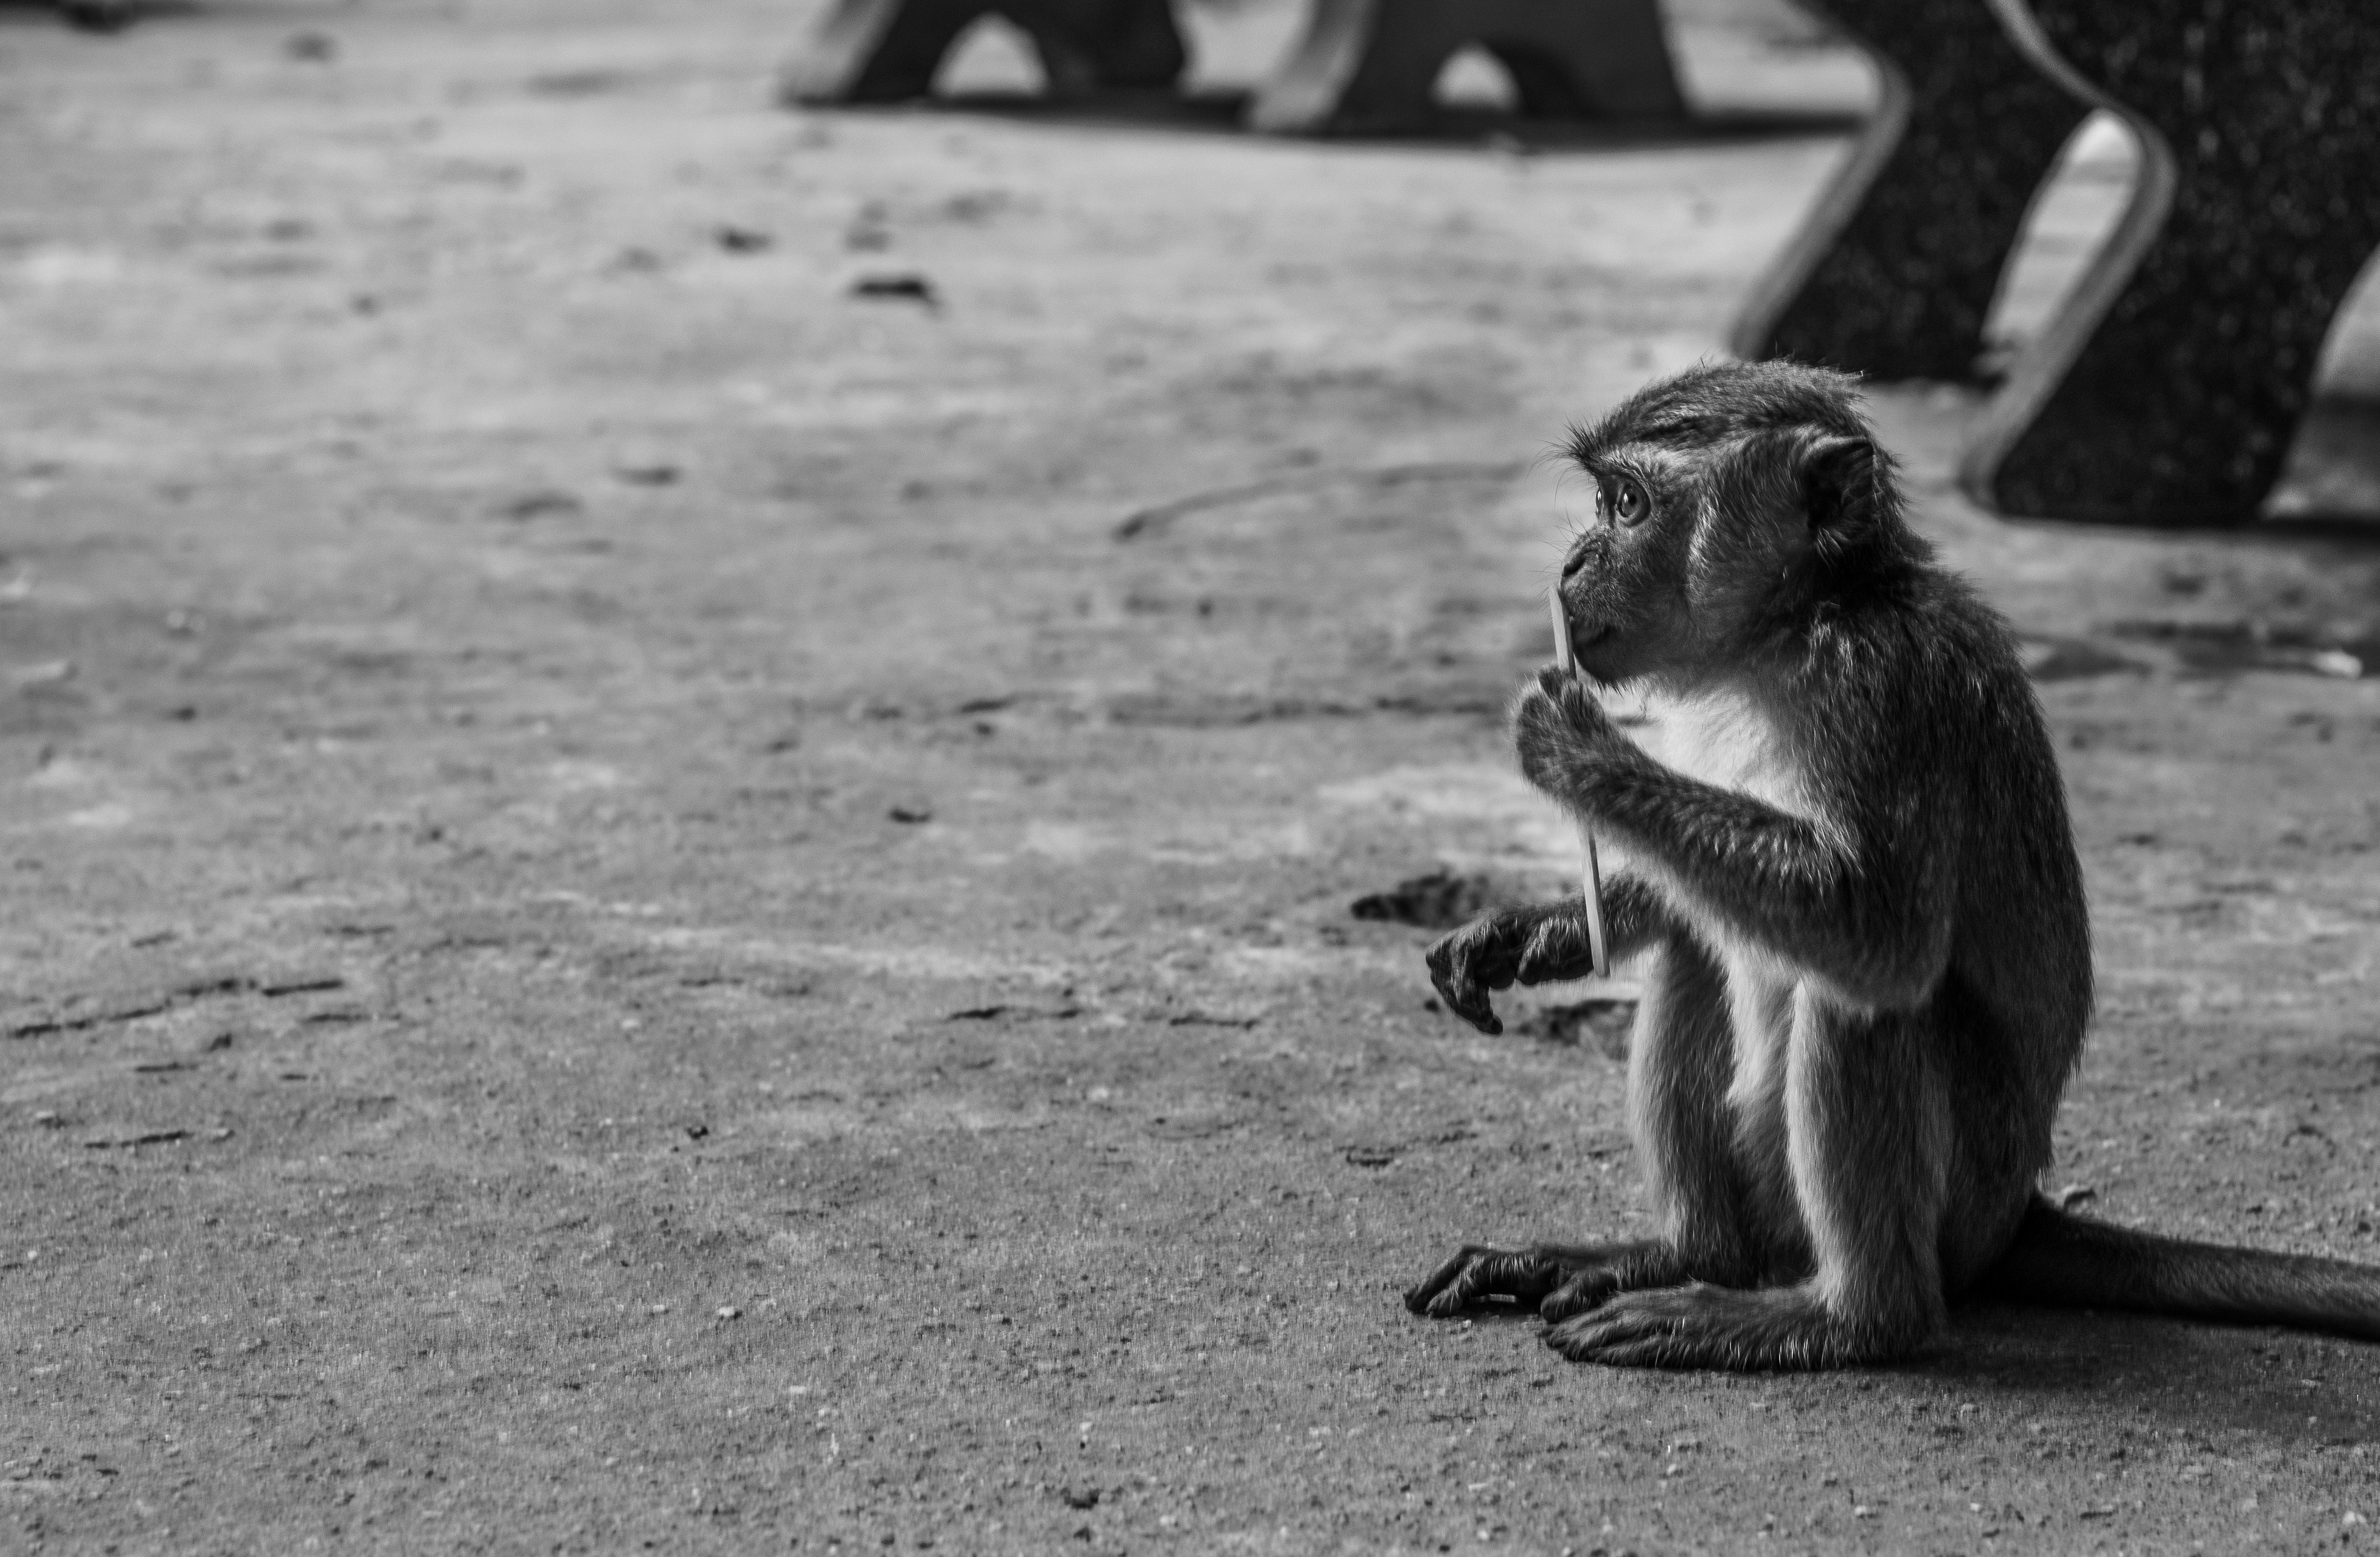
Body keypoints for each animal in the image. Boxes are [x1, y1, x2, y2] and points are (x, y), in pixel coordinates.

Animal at [1404, 359, 2380, 1369]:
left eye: (1629, 505)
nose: (1568, 566)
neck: (1787, 635)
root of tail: (2016, 1212)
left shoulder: (1879, 688)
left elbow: (1878, 932)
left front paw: (1577, 752)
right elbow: (1691, 893)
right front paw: (1535, 933)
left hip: (1962, 1197)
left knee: (1863, 993)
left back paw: (1842, 1318)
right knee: (1702, 941)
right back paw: (1685, 1255)